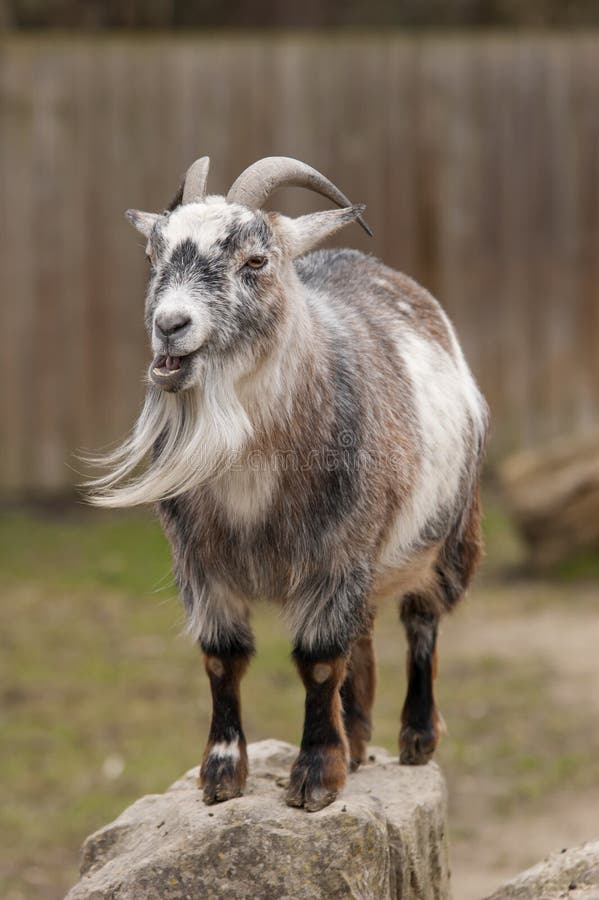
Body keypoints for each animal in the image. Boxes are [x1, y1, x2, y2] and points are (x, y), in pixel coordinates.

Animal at [89, 156, 488, 812]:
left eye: (256, 261)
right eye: (153, 255)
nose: (170, 325)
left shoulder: (335, 555)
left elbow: (319, 661)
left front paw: (316, 777)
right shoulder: (203, 567)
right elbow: (223, 660)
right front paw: (222, 775)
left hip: (448, 534)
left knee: (421, 622)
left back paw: (415, 739)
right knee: (364, 633)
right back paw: (358, 739)